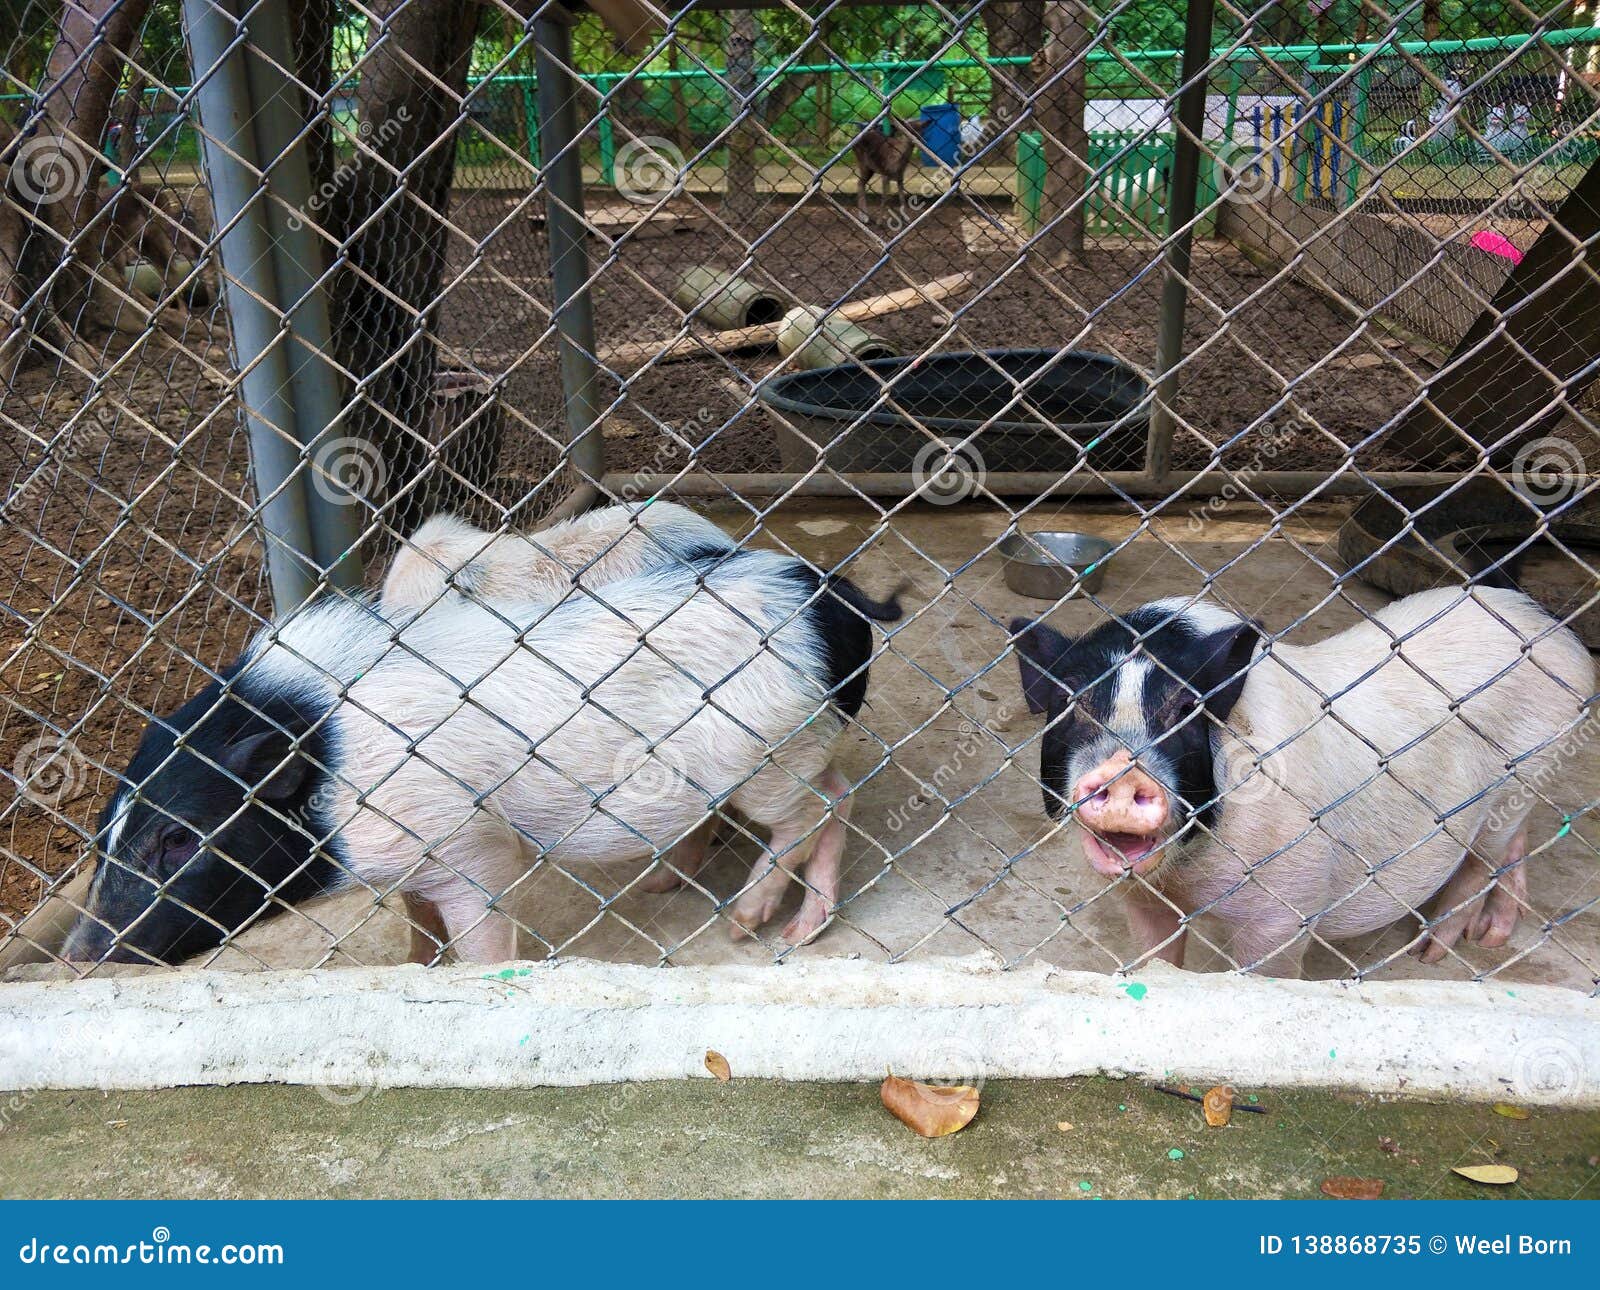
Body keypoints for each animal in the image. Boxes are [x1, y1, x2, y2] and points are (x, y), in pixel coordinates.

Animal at [63, 548, 905, 966]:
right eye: (103, 837)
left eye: (178, 839)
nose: (78, 953)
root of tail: (831, 600)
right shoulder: (409, 857)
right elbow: (417, 919)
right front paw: (414, 964)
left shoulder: (470, 846)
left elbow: (482, 936)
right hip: (789, 749)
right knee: (835, 793)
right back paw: (712, 902)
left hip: (770, 754)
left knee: (822, 806)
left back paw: (749, 927)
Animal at [1012, 589, 1594, 974]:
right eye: (1070, 703)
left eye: (1187, 710)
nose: (1121, 770)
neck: (1185, 880)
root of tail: (1557, 628)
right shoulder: (1143, 897)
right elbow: (1157, 953)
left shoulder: (1285, 907)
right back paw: (1492, 938)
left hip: (1524, 773)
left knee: (1479, 863)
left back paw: (1432, 950)